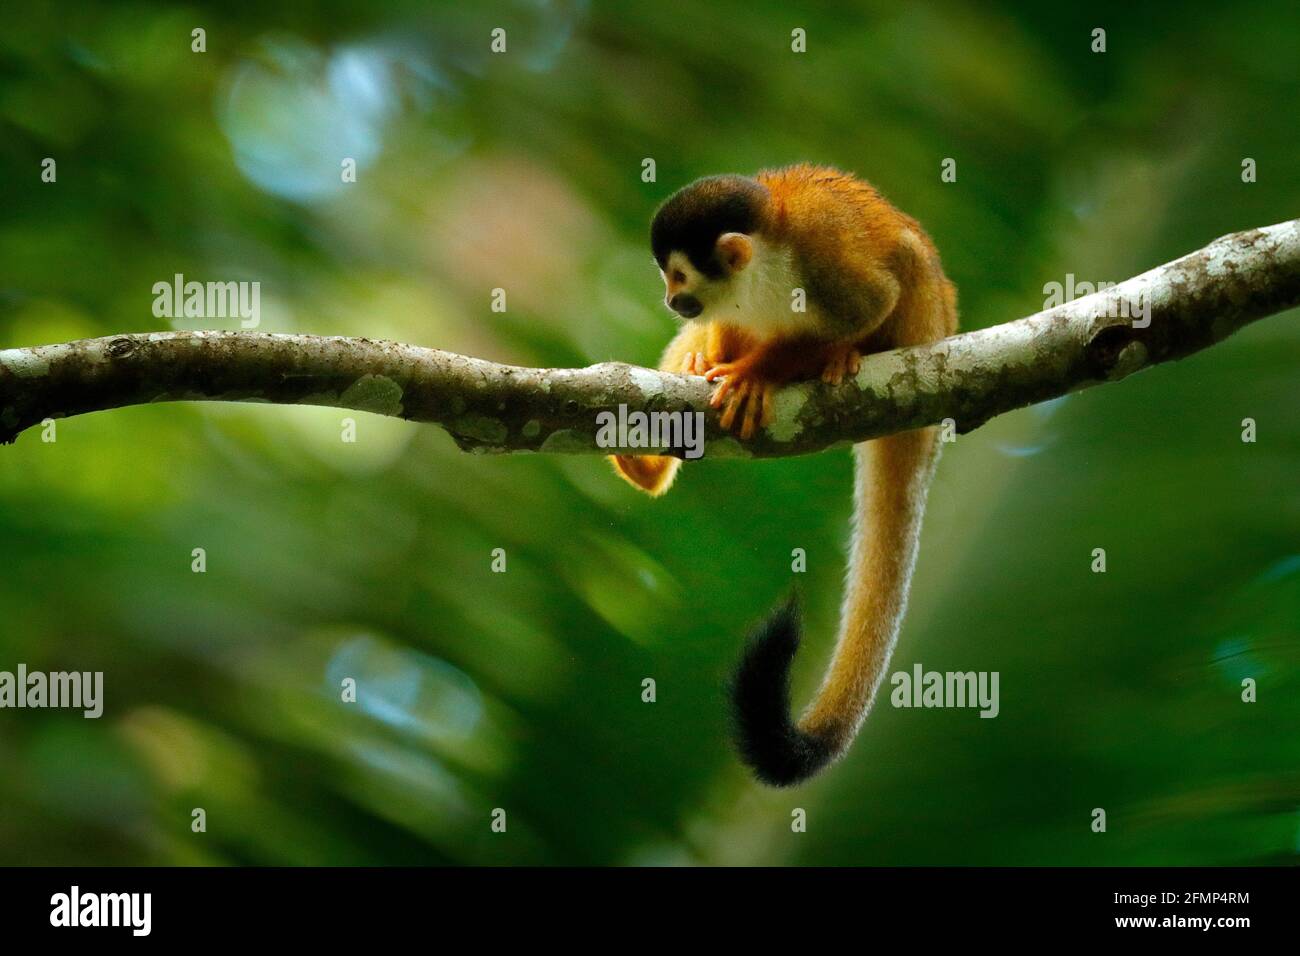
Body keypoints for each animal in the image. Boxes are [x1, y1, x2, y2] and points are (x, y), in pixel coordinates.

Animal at [613, 165, 958, 785]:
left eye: (678, 274)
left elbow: (871, 301)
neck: (761, 265)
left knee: (905, 259)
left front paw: (759, 373)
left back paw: (839, 356)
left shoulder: (821, 262)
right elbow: (718, 329)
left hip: (926, 323)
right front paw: (711, 362)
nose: (672, 299)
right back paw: (650, 463)